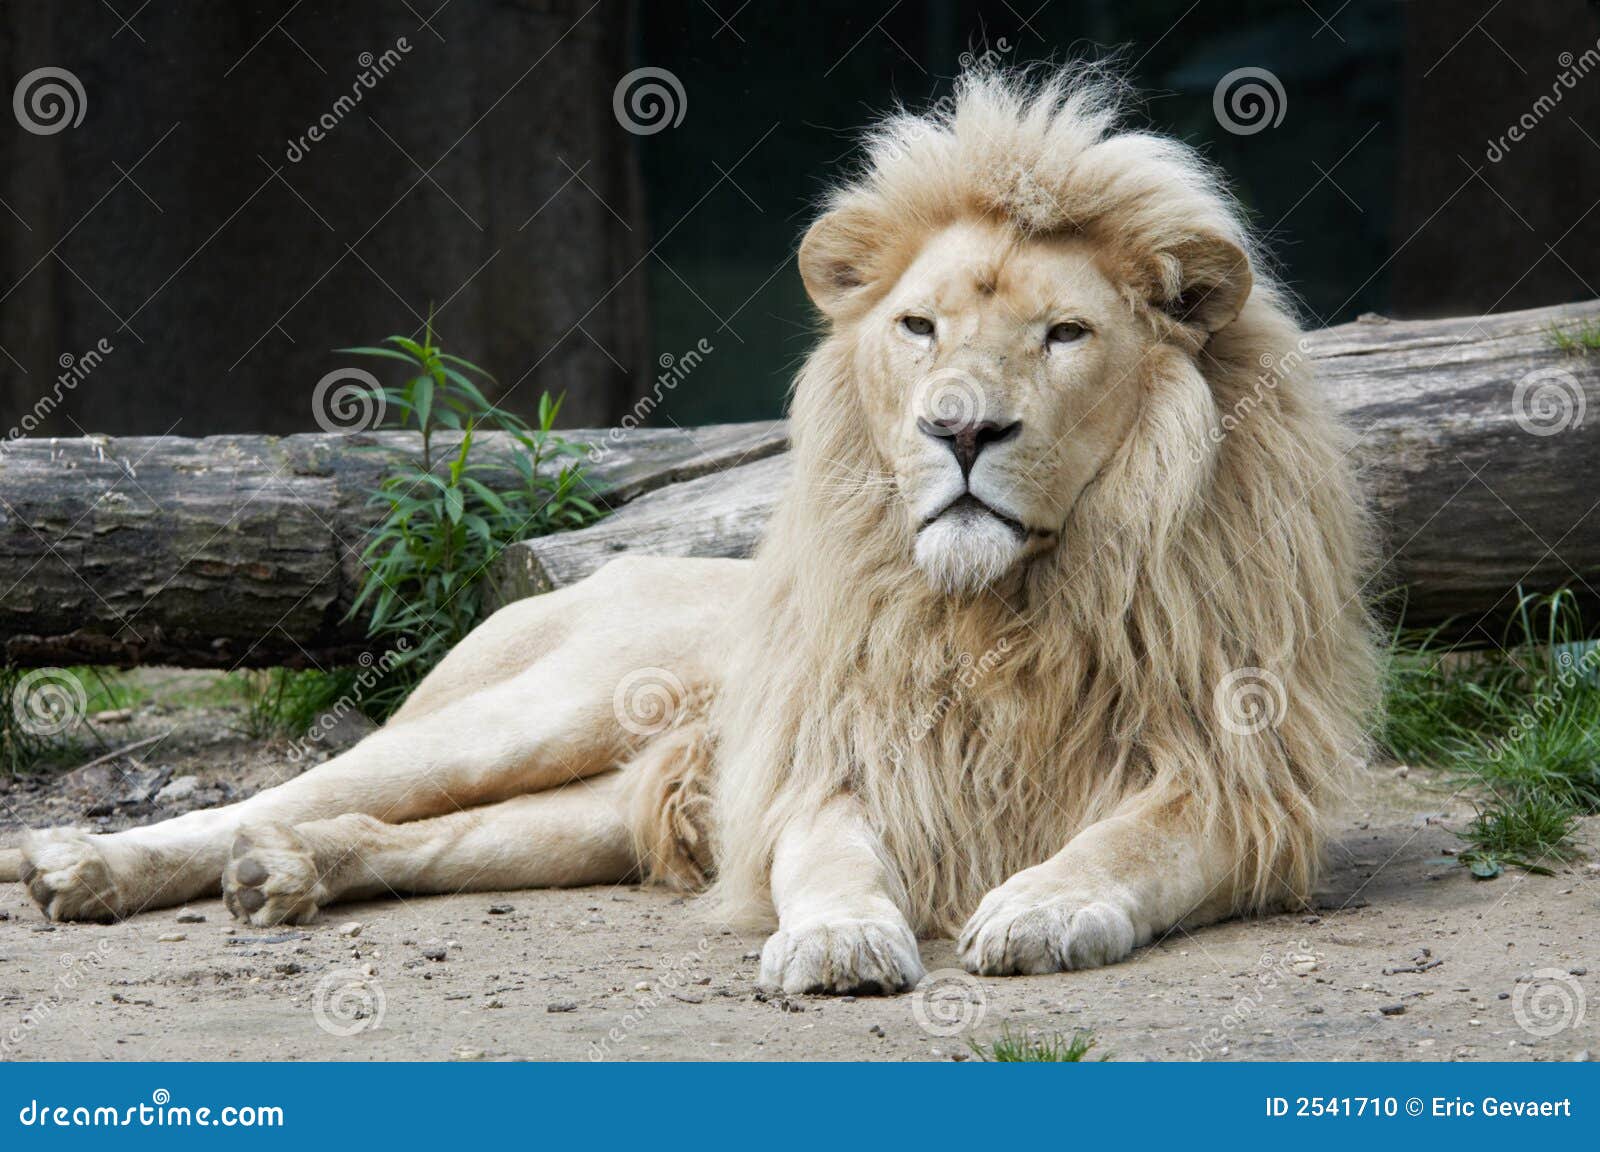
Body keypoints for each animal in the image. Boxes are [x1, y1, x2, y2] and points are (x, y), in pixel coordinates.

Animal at [7, 68, 1378, 995]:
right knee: (283, 793)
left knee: (410, 836)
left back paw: (289, 872)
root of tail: (581, 578)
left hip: (591, 813)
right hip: (535, 715)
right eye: (920, 328)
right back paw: (86, 865)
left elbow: (1121, 848)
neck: (1007, 609)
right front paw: (837, 938)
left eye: (1064, 335)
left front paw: (1035, 910)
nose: (960, 432)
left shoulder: (1244, 784)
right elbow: (828, 859)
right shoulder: (831, 766)